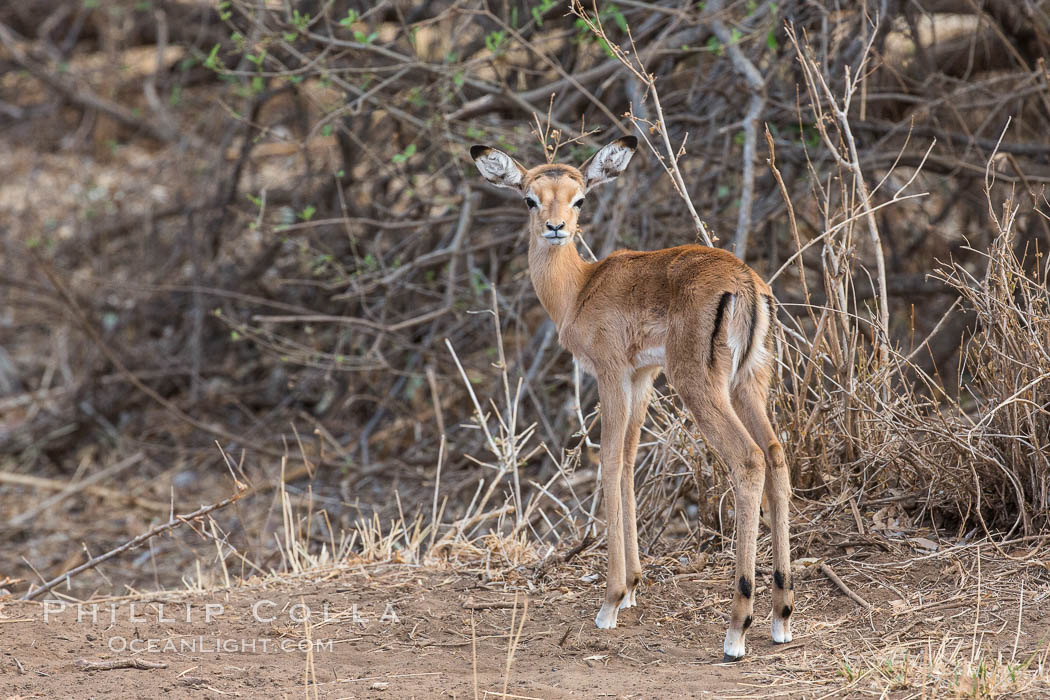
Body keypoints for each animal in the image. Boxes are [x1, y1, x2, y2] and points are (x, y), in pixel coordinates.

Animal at [470, 136, 794, 662]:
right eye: (530, 198)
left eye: (579, 199)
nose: (556, 228)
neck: (580, 288)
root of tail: (746, 284)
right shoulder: (642, 378)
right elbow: (626, 462)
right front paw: (633, 587)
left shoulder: (611, 374)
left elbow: (607, 462)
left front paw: (610, 601)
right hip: (749, 383)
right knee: (776, 455)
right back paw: (781, 616)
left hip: (700, 386)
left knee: (748, 460)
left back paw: (736, 631)